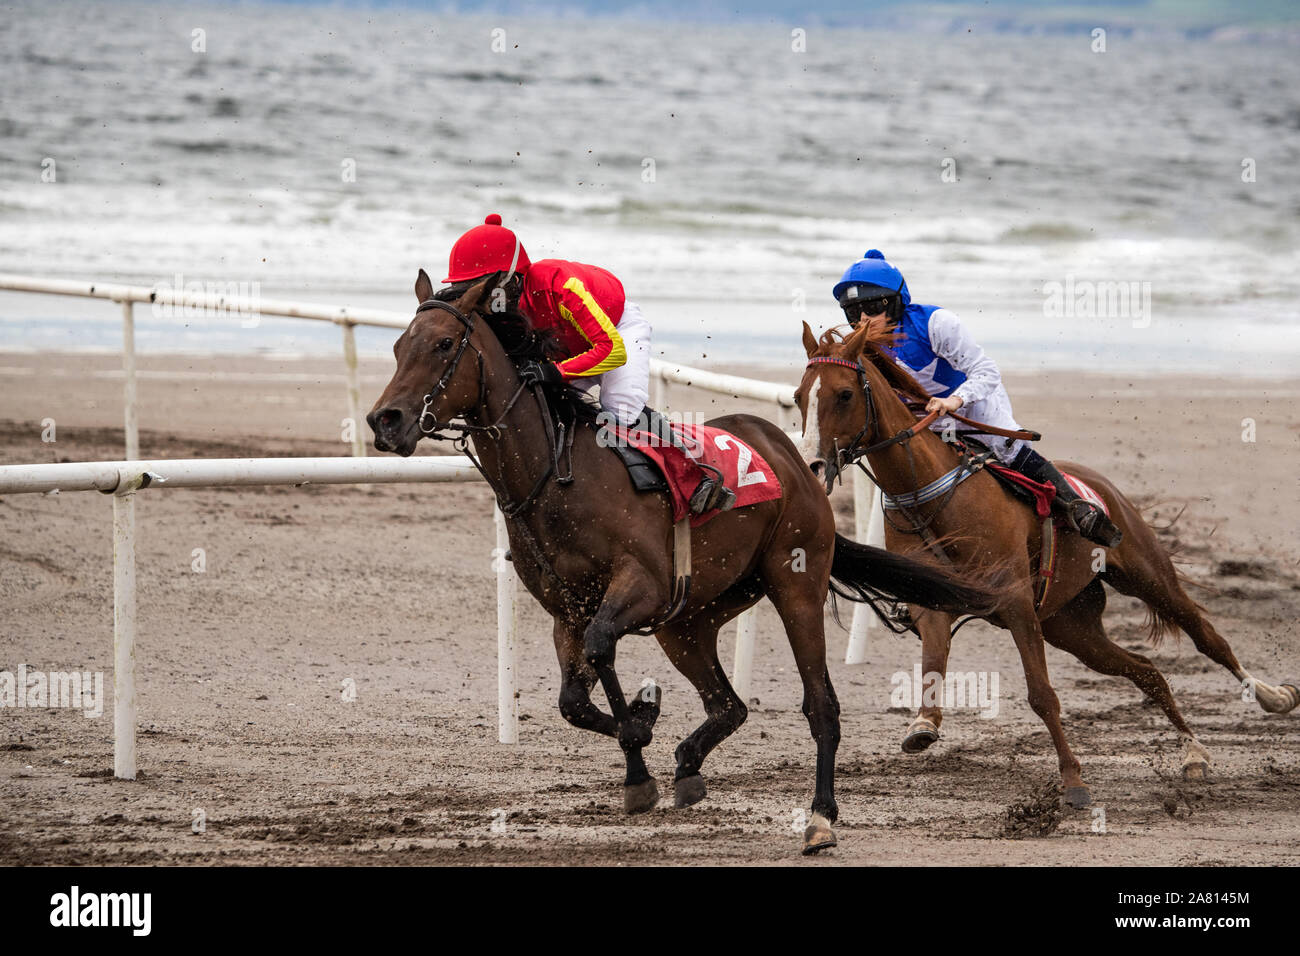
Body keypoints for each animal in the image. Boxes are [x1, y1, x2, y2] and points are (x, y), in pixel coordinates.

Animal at [366, 271, 1003, 853]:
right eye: (398, 346)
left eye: (443, 344)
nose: (385, 421)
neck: (556, 473)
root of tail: (795, 461)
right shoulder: (566, 610)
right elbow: (574, 699)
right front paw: (641, 738)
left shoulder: (640, 587)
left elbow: (600, 650)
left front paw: (639, 740)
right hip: (689, 618)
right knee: (729, 704)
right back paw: (690, 764)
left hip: (793, 582)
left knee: (820, 704)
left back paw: (821, 819)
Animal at [795, 320, 1298, 808]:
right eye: (800, 396)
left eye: (844, 394)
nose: (814, 467)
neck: (930, 496)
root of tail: (1101, 486)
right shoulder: (932, 601)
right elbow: (934, 662)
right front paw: (923, 725)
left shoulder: (1017, 605)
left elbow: (1042, 696)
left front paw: (1073, 782)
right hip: (1071, 625)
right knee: (1145, 670)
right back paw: (1193, 752)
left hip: (1147, 576)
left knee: (1208, 638)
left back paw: (1269, 699)